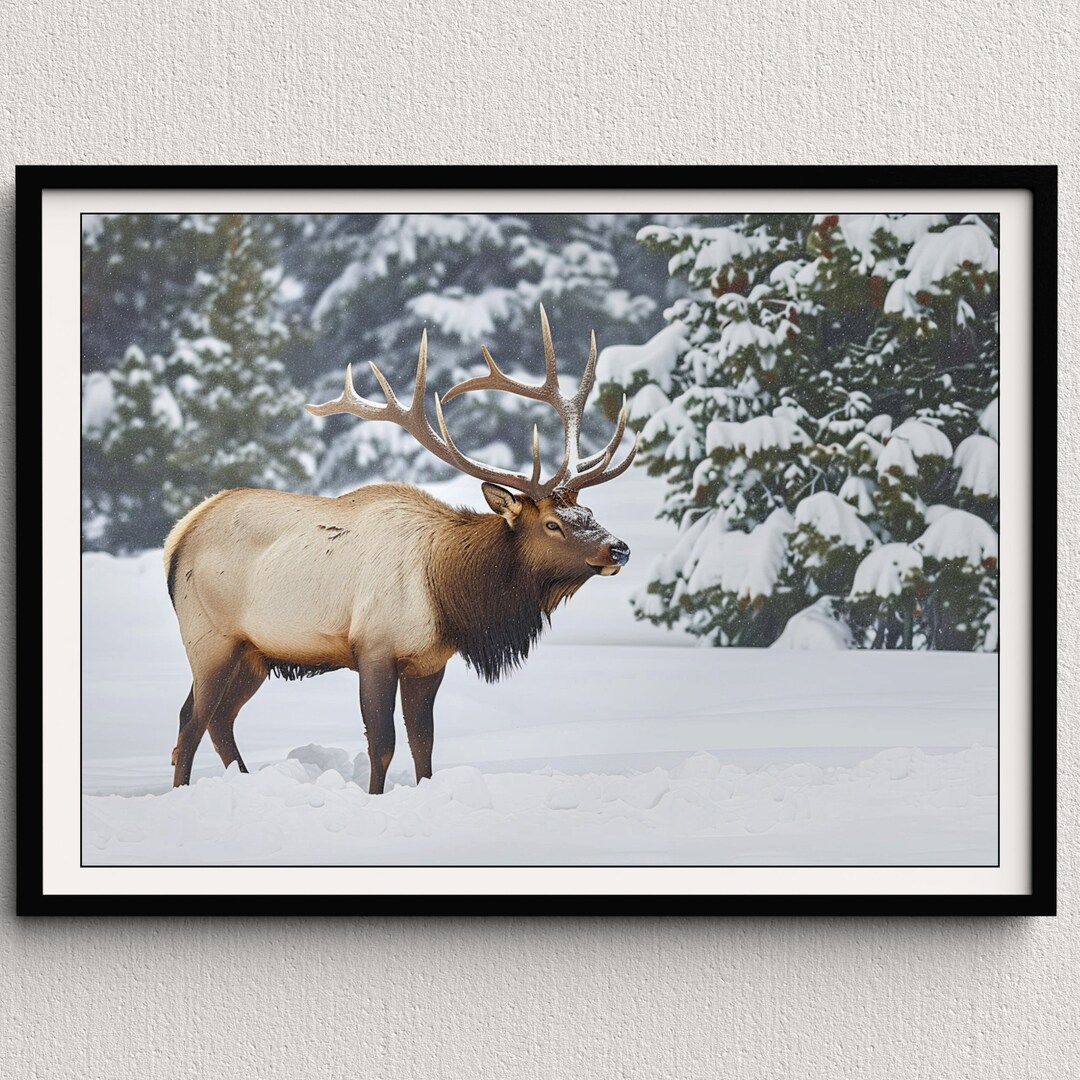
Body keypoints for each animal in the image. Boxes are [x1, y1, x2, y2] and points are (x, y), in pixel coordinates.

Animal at [163, 307, 637, 794]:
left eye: (588, 510)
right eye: (552, 524)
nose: (619, 549)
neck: (449, 595)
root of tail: (179, 536)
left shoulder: (428, 662)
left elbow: (423, 743)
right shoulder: (374, 647)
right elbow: (383, 744)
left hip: (253, 653)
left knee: (219, 721)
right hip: (209, 637)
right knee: (190, 724)